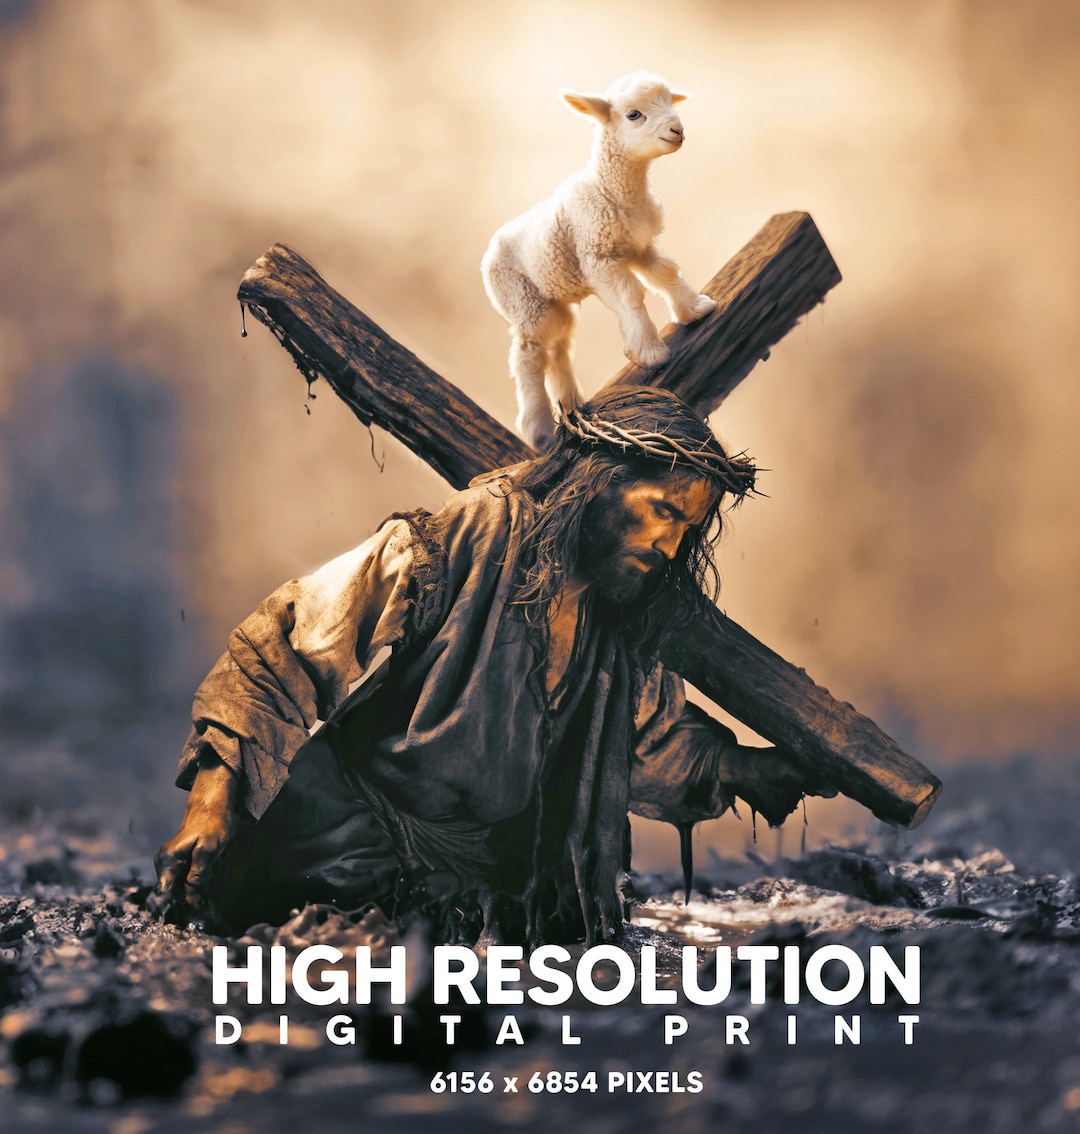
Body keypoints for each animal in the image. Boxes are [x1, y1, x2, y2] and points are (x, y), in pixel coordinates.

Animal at [481, 71, 717, 451]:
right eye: (633, 115)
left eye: (669, 101)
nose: (677, 130)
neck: (612, 191)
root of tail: (491, 247)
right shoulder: (599, 257)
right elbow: (632, 295)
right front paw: (649, 352)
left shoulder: (639, 246)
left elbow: (665, 272)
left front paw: (695, 308)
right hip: (523, 302)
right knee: (528, 356)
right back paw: (539, 427)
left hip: (555, 303)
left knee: (559, 348)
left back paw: (571, 402)